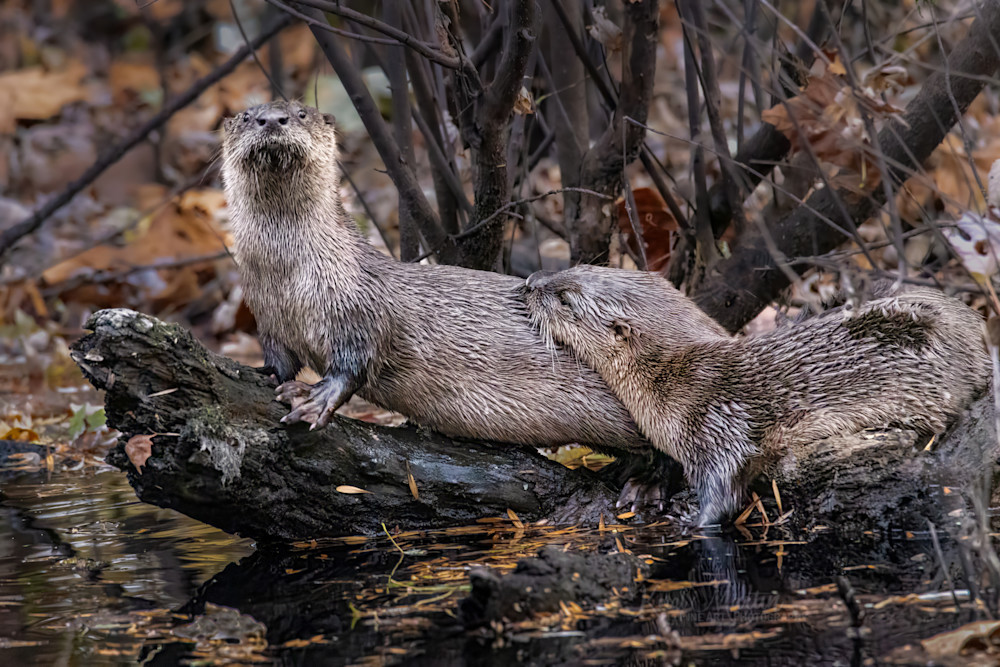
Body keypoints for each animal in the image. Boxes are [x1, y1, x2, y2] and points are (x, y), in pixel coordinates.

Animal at [220, 100, 682, 455]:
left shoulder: (358, 302)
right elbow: (280, 359)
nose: (272, 119)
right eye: (245, 115)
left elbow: (356, 360)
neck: (289, 279)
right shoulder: (266, 315)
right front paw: (264, 374)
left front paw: (316, 398)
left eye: (300, 113)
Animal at [524, 265, 990, 525]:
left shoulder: (712, 419)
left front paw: (692, 519)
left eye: (565, 297)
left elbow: (726, 483)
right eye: (574, 266)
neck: (671, 381)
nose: (529, 282)